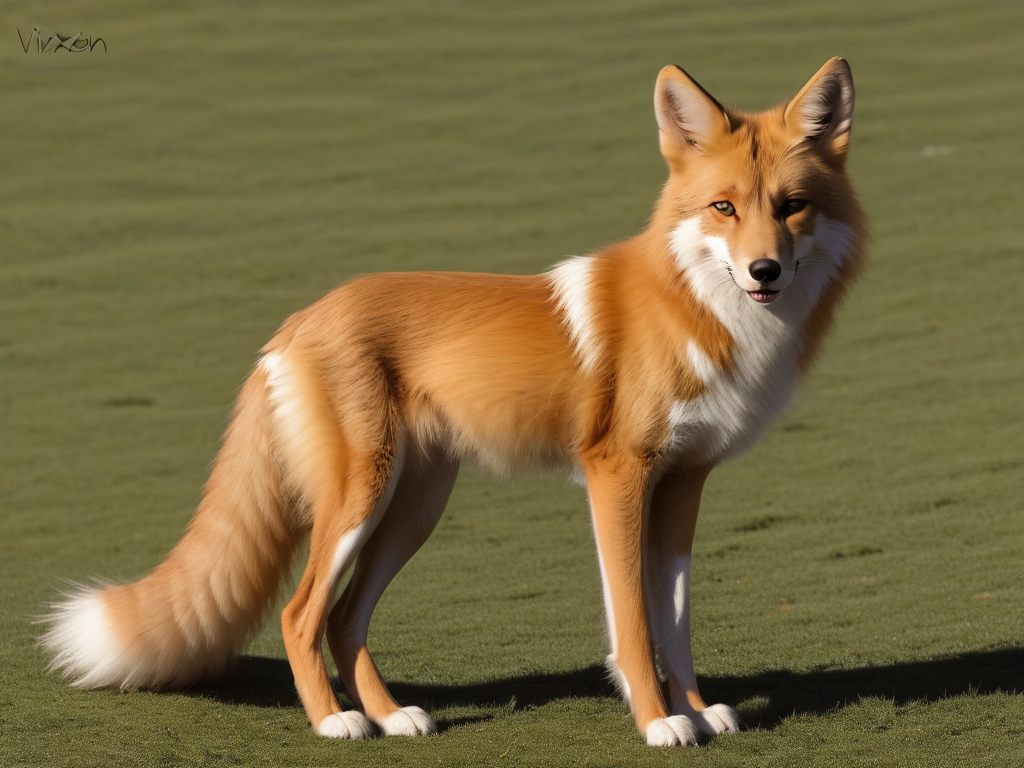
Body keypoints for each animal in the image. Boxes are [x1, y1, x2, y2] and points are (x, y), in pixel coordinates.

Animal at [43, 59, 866, 747]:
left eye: (790, 208)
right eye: (724, 207)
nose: (764, 271)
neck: (698, 311)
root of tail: (299, 319)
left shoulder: (684, 483)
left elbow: (676, 621)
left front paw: (695, 710)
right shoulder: (618, 476)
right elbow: (633, 624)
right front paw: (659, 723)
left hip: (413, 509)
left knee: (343, 619)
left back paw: (389, 717)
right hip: (361, 497)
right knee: (299, 613)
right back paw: (335, 722)